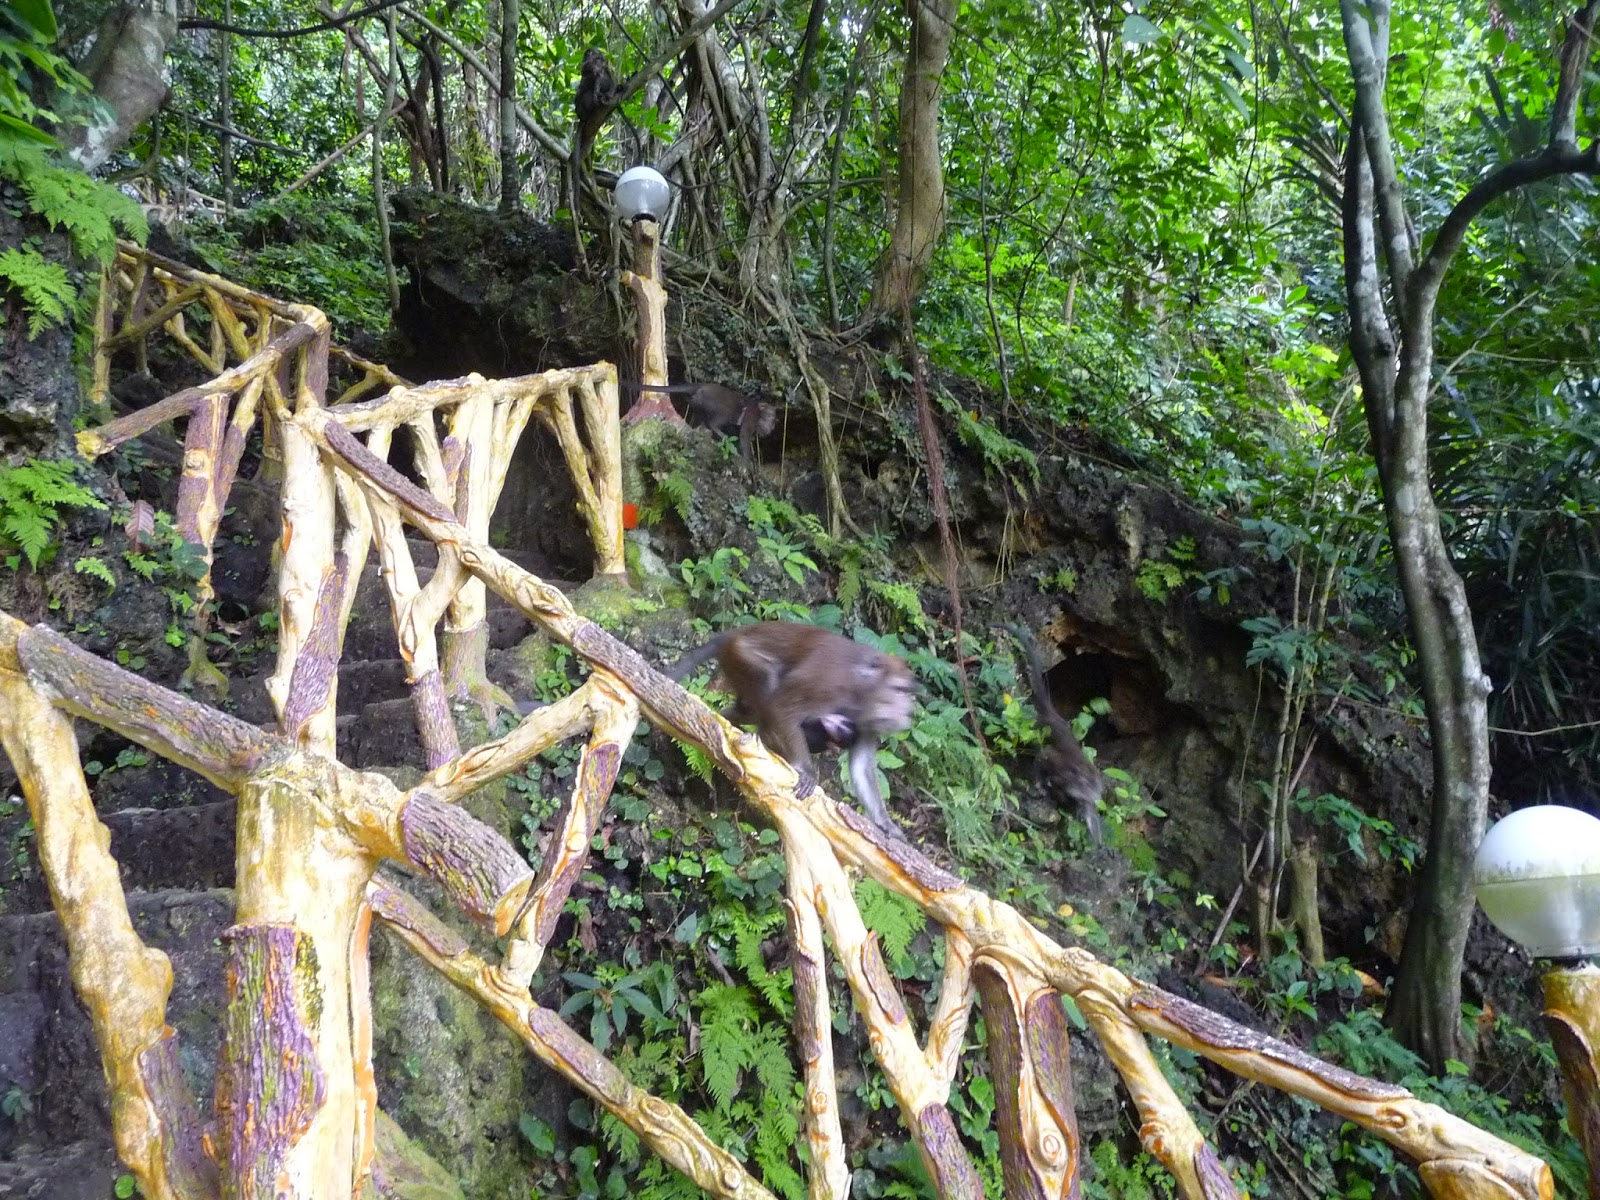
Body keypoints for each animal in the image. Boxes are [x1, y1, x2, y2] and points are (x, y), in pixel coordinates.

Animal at [622, 382, 778, 460]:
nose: (771, 427)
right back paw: (721, 435)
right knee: (715, 422)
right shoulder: (751, 418)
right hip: (716, 407)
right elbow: (744, 439)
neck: (758, 410)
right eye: (771, 418)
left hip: (701, 404)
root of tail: (701, 386)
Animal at [667, 622, 917, 834]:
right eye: (898, 689)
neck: (862, 689)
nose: (906, 710)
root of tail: (739, 631)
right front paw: (805, 769)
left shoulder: (868, 723)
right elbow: (782, 707)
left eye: (907, 692)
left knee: (747, 709)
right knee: (768, 684)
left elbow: (861, 768)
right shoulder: (828, 683)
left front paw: (886, 823)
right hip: (739, 656)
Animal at [1005, 623, 1106, 845]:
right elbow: (1042, 760)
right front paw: (1040, 786)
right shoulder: (1055, 761)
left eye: (1097, 788)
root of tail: (1052, 714)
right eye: (1085, 783)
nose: (1094, 796)